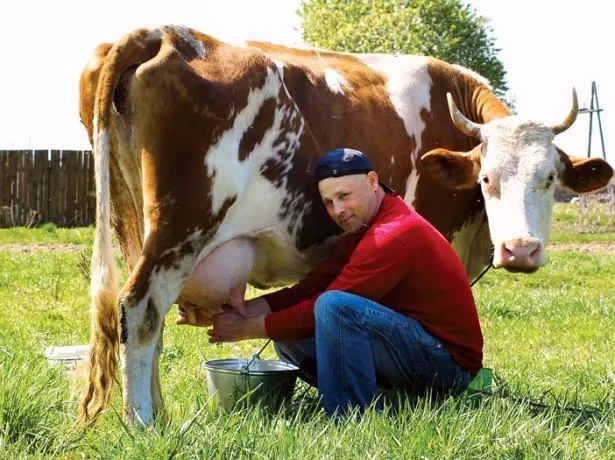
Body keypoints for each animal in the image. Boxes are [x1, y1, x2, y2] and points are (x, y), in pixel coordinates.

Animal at [79, 25, 612, 426]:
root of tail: (164, 33)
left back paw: (158, 414)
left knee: (143, 325)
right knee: (139, 309)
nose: (520, 250)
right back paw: (144, 423)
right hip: (182, 230)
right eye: (486, 178)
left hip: (136, 227)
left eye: (549, 179)